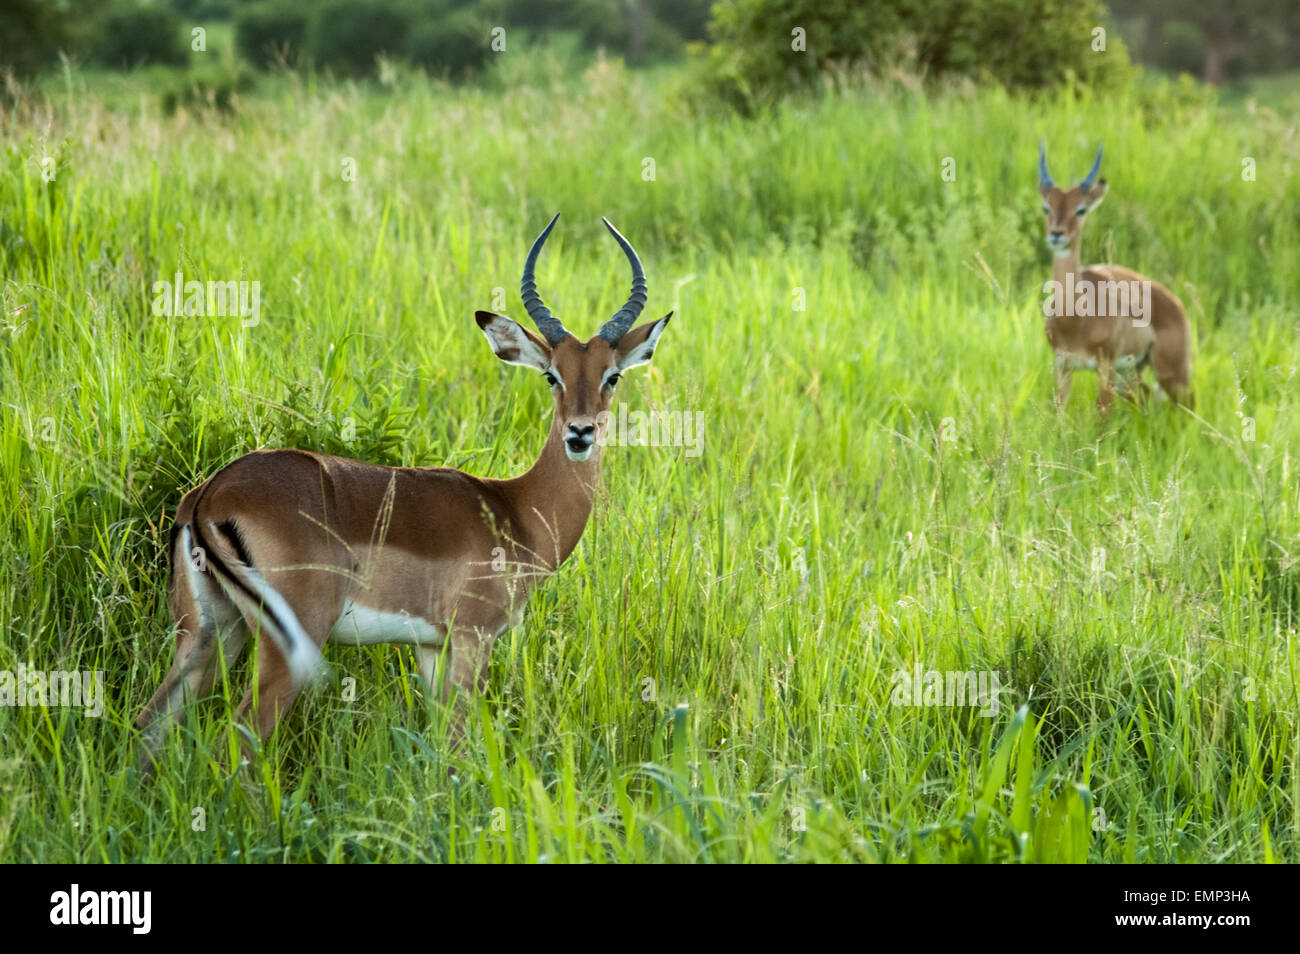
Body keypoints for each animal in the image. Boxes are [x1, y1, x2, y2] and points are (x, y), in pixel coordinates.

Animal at [135, 214, 672, 768]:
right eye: (551, 376)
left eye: (612, 375)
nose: (580, 434)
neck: (517, 509)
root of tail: (209, 495)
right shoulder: (474, 637)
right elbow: (459, 744)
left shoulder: (433, 646)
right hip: (286, 641)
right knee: (237, 740)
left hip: (208, 633)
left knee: (148, 726)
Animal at [1037, 143, 1193, 413]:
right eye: (1047, 207)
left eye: (1081, 209)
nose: (1057, 234)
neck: (1075, 319)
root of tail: (1176, 303)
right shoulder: (1062, 367)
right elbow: (1059, 414)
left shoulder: (1105, 367)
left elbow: (1101, 415)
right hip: (1130, 372)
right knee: (1145, 394)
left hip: (1170, 371)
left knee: (1190, 404)